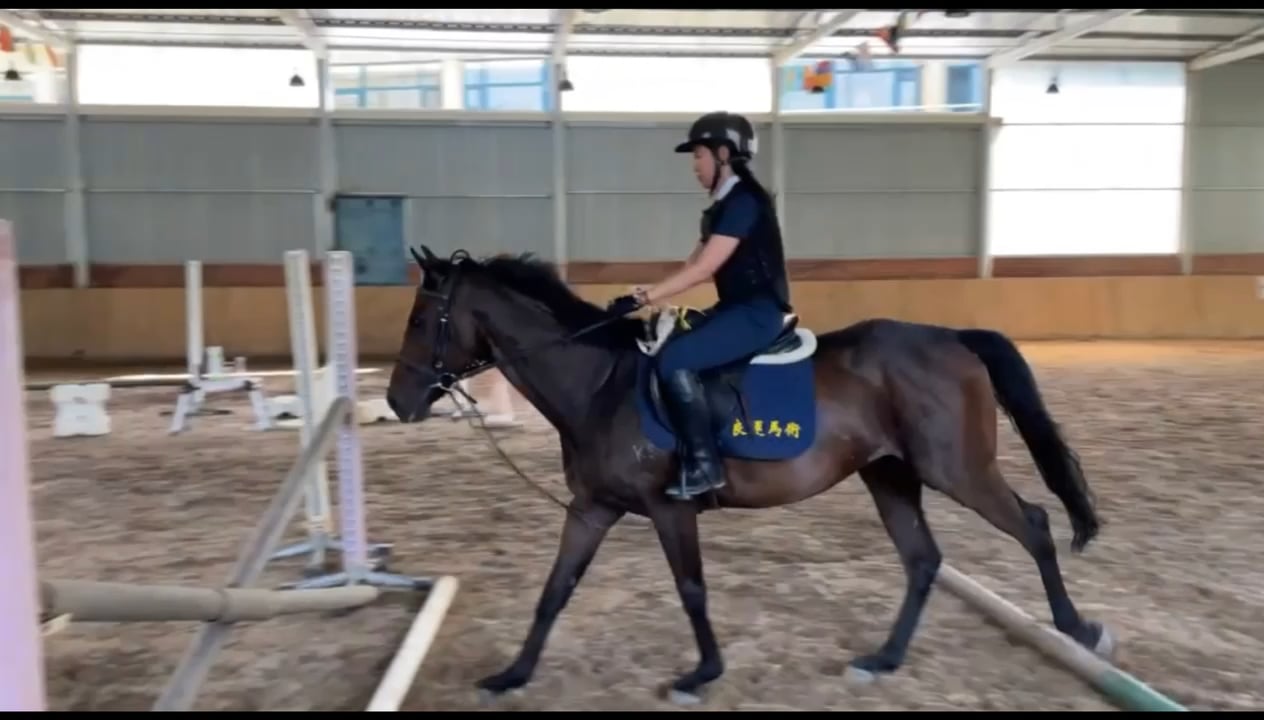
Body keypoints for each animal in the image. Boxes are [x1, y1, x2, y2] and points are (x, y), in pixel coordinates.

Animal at [386, 245, 1112, 705]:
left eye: (422, 319)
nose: (397, 402)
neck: (599, 386)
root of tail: (954, 336)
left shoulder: (670, 508)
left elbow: (691, 590)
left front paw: (700, 674)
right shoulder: (591, 508)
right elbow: (554, 591)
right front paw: (511, 674)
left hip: (955, 467)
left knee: (1033, 524)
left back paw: (1079, 629)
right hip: (889, 476)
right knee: (923, 560)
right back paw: (883, 659)